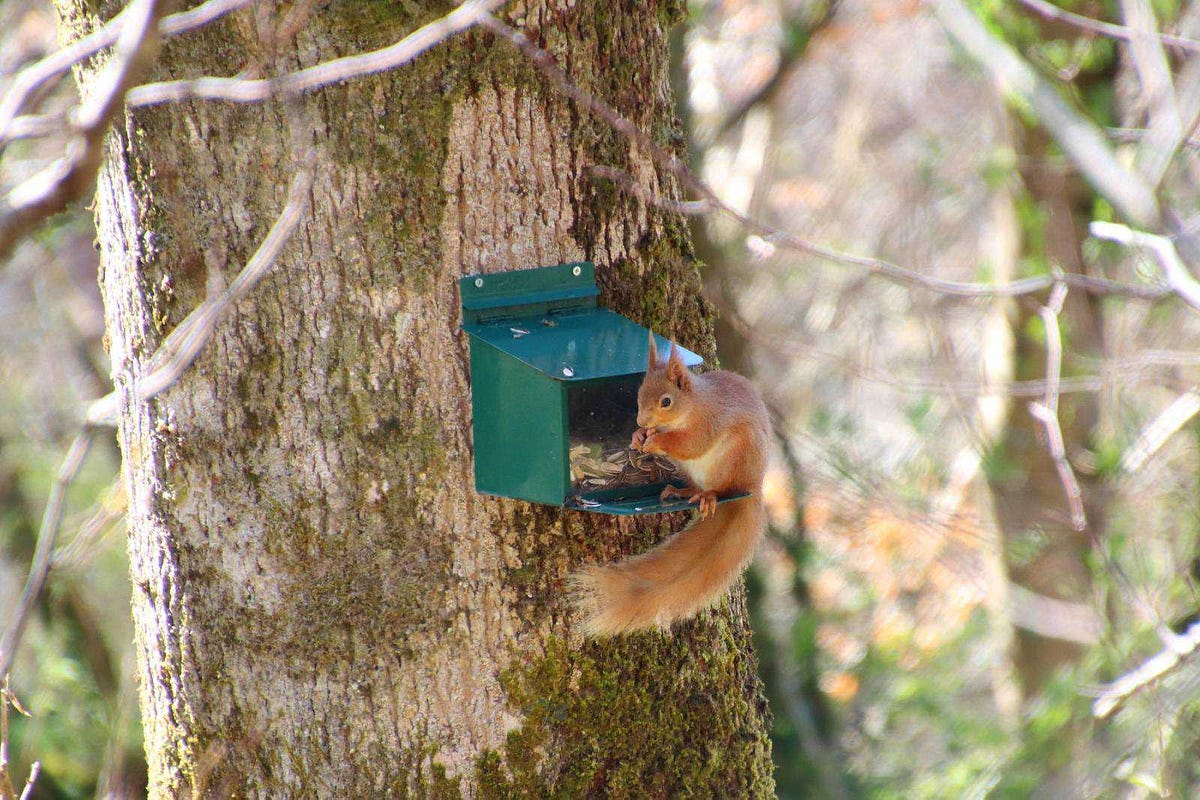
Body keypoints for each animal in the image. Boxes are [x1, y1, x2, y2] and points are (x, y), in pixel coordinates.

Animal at [570, 333, 770, 636]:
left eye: (666, 401)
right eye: (640, 392)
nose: (641, 420)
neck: (691, 407)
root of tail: (755, 485)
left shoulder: (709, 422)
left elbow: (690, 444)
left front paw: (656, 441)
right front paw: (638, 435)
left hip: (737, 456)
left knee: (725, 487)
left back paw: (710, 495)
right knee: (697, 485)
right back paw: (682, 490)